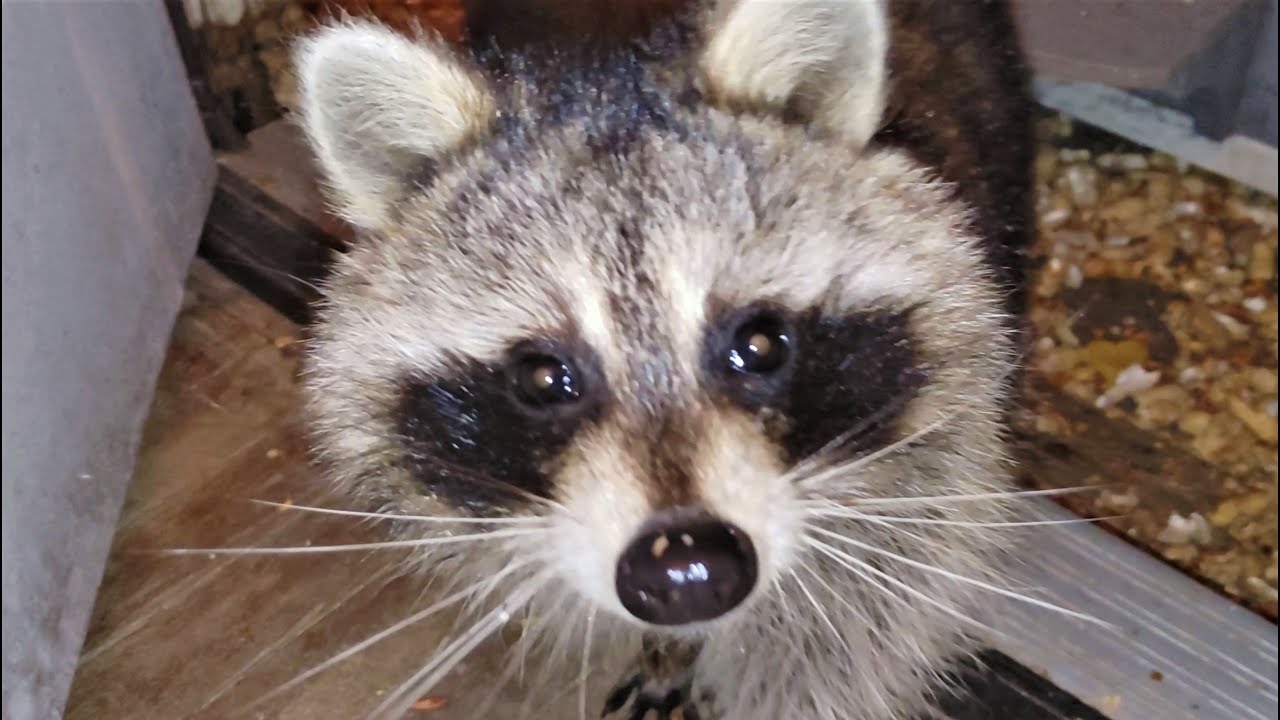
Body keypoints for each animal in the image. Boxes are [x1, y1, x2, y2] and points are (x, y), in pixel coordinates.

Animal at [293, 0, 1034, 717]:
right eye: (542, 378)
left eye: (760, 343)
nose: (688, 568)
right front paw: (665, 650)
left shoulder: (928, 468)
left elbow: (848, 636)